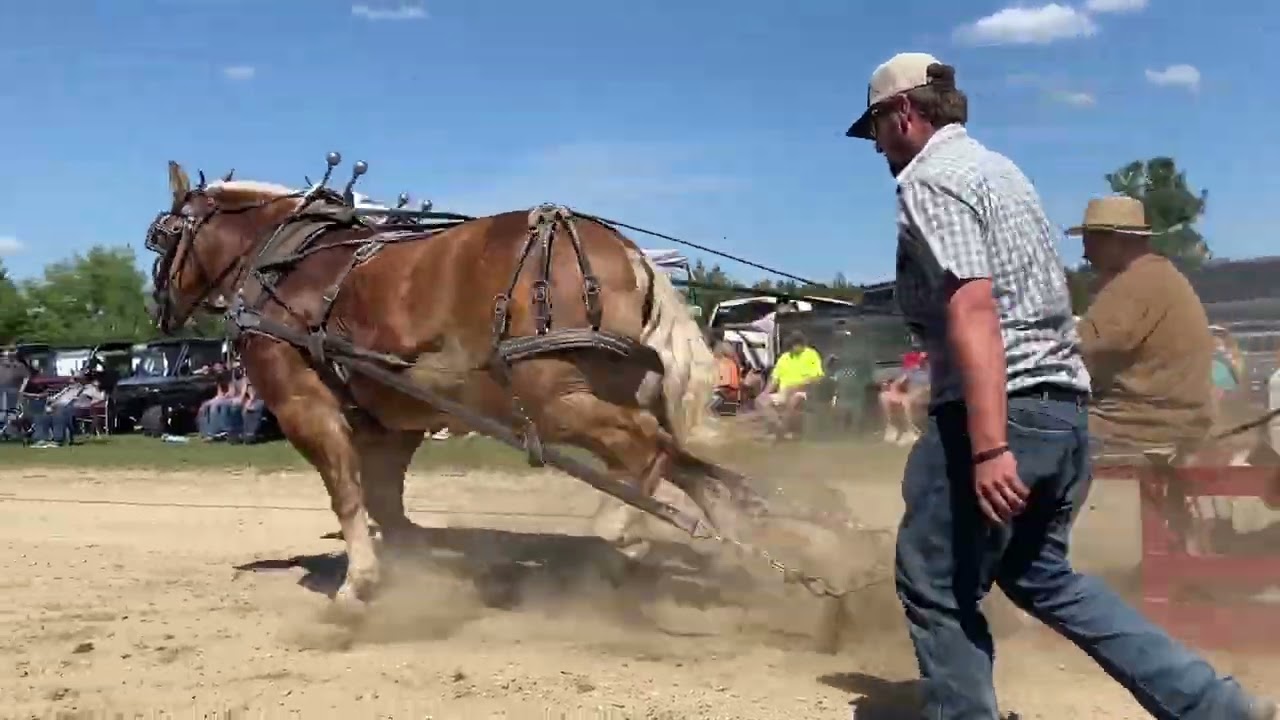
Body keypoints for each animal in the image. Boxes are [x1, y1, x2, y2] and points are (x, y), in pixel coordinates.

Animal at [145, 160, 765, 616]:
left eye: (162, 238)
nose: (159, 308)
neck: (286, 266)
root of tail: (631, 257)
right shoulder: (390, 423)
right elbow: (386, 504)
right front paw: (426, 566)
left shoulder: (305, 408)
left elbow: (347, 493)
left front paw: (360, 581)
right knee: (684, 462)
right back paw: (741, 546)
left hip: (549, 398)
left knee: (648, 452)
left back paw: (624, 529)